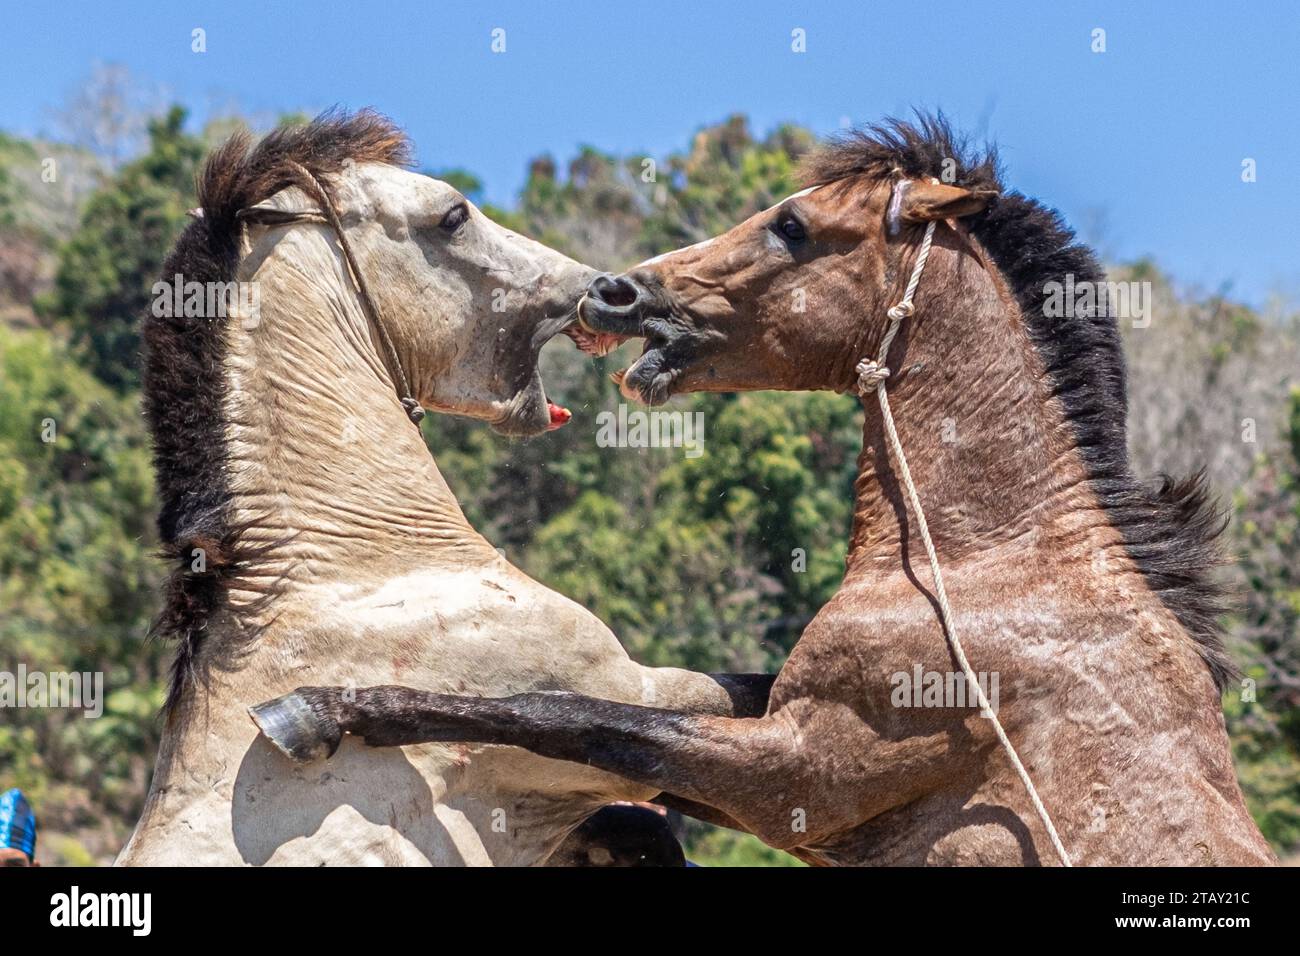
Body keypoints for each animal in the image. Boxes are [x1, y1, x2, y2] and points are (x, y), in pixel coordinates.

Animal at [254, 117, 1276, 866]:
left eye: (794, 226)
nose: (619, 293)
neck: (990, 569)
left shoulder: (796, 774)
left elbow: (572, 719)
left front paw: (318, 710)